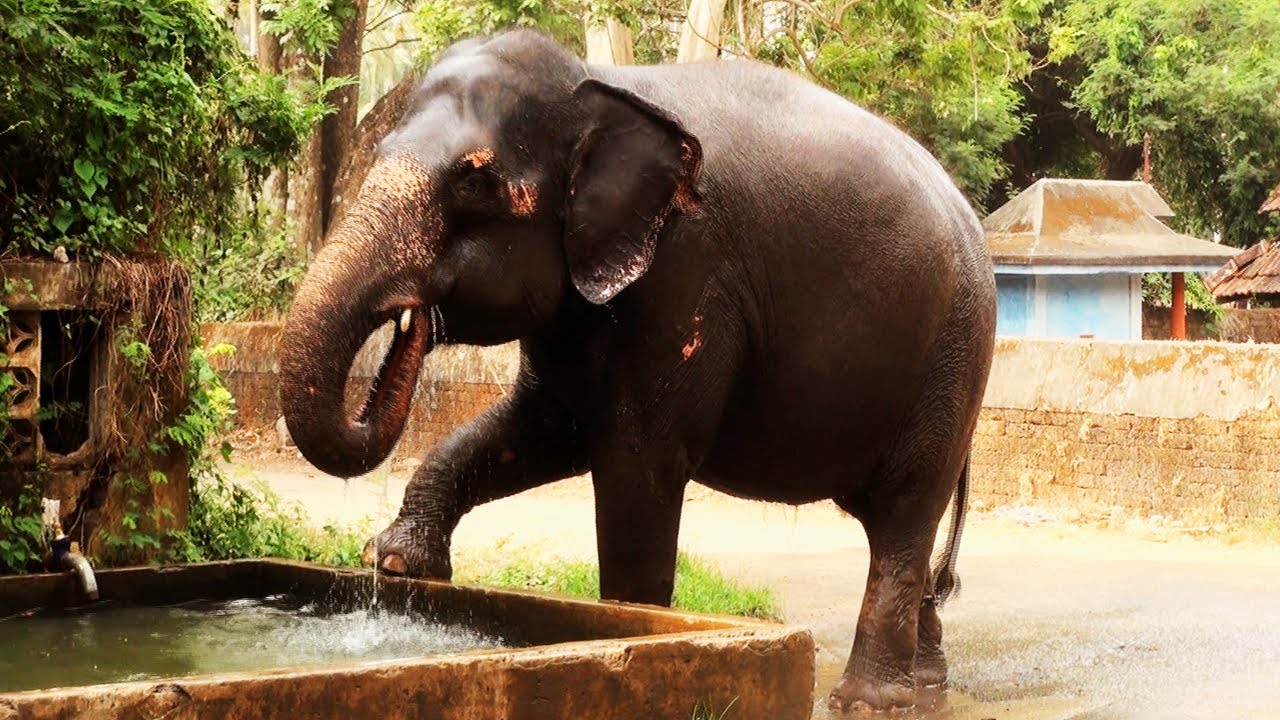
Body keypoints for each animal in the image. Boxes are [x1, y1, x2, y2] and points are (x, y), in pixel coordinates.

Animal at [278, 29, 995, 712]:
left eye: (473, 182)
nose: (412, 322)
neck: (599, 85)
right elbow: (536, 432)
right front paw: (398, 561)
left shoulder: (688, 275)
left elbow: (635, 466)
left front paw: (632, 627)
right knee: (888, 518)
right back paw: (925, 684)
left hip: (954, 356)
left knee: (904, 510)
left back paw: (869, 702)